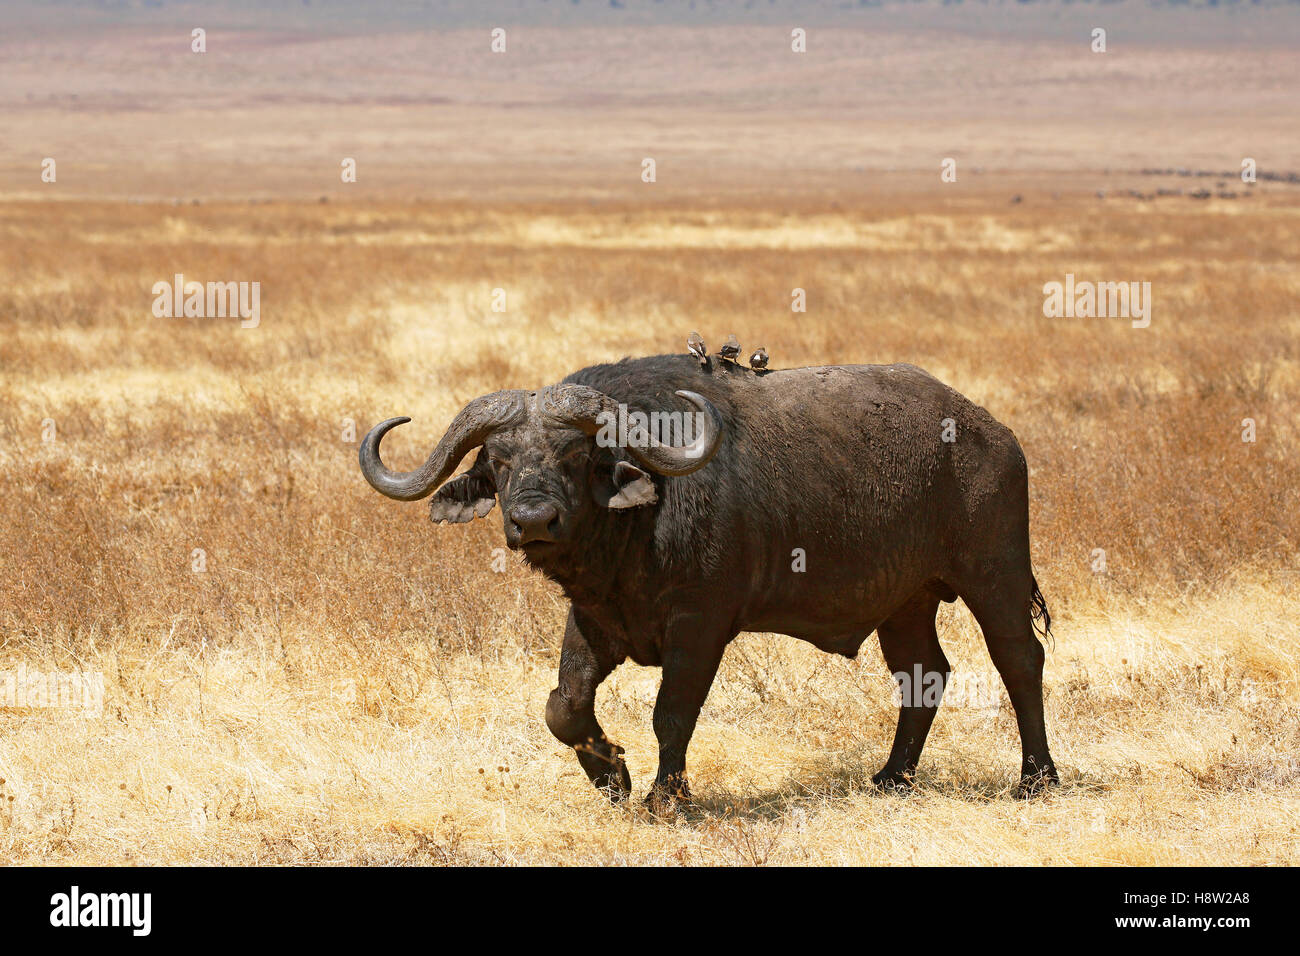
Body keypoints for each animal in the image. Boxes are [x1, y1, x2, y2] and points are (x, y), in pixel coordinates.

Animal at [359, 353, 1058, 808]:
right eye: (499, 462)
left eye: (576, 456)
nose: (534, 520)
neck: (634, 532)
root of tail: (993, 434)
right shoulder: (595, 620)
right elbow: (564, 704)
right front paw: (613, 777)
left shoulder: (700, 626)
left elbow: (672, 713)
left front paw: (665, 798)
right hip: (904, 602)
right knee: (923, 674)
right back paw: (892, 778)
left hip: (993, 574)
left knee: (1019, 659)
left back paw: (1036, 777)